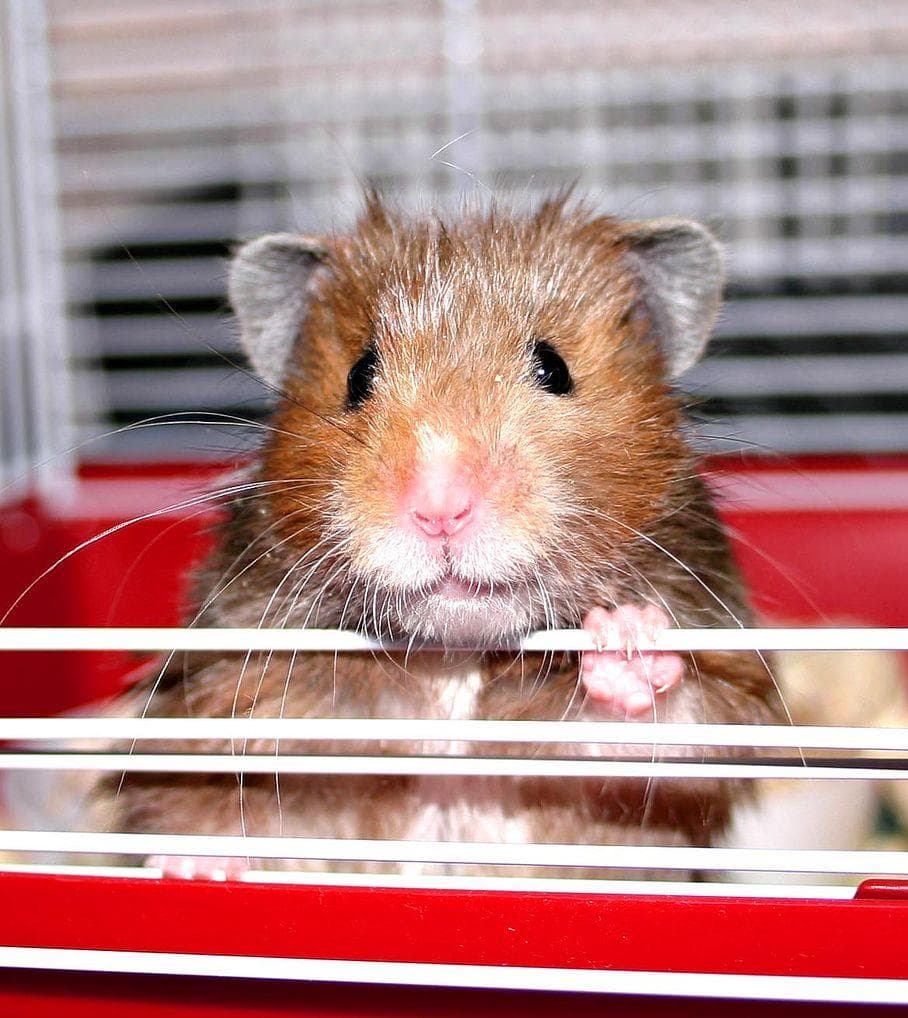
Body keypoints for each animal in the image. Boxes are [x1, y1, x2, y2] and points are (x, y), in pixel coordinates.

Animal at [98, 193, 784, 877]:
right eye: (358, 374)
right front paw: (197, 867)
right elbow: (205, 781)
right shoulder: (228, 678)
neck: (454, 659)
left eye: (555, 367)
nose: (440, 508)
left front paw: (624, 637)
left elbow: (682, 736)